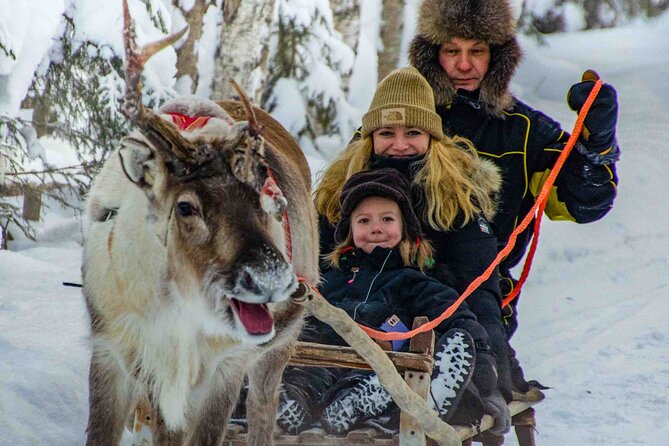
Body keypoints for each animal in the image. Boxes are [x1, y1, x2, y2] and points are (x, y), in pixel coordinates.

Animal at [81, 1, 318, 444]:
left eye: (264, 185)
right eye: (186, 207)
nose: (273, 279)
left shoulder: (224, 367)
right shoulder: (112, 352)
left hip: (282, 342)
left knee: (264, 407)